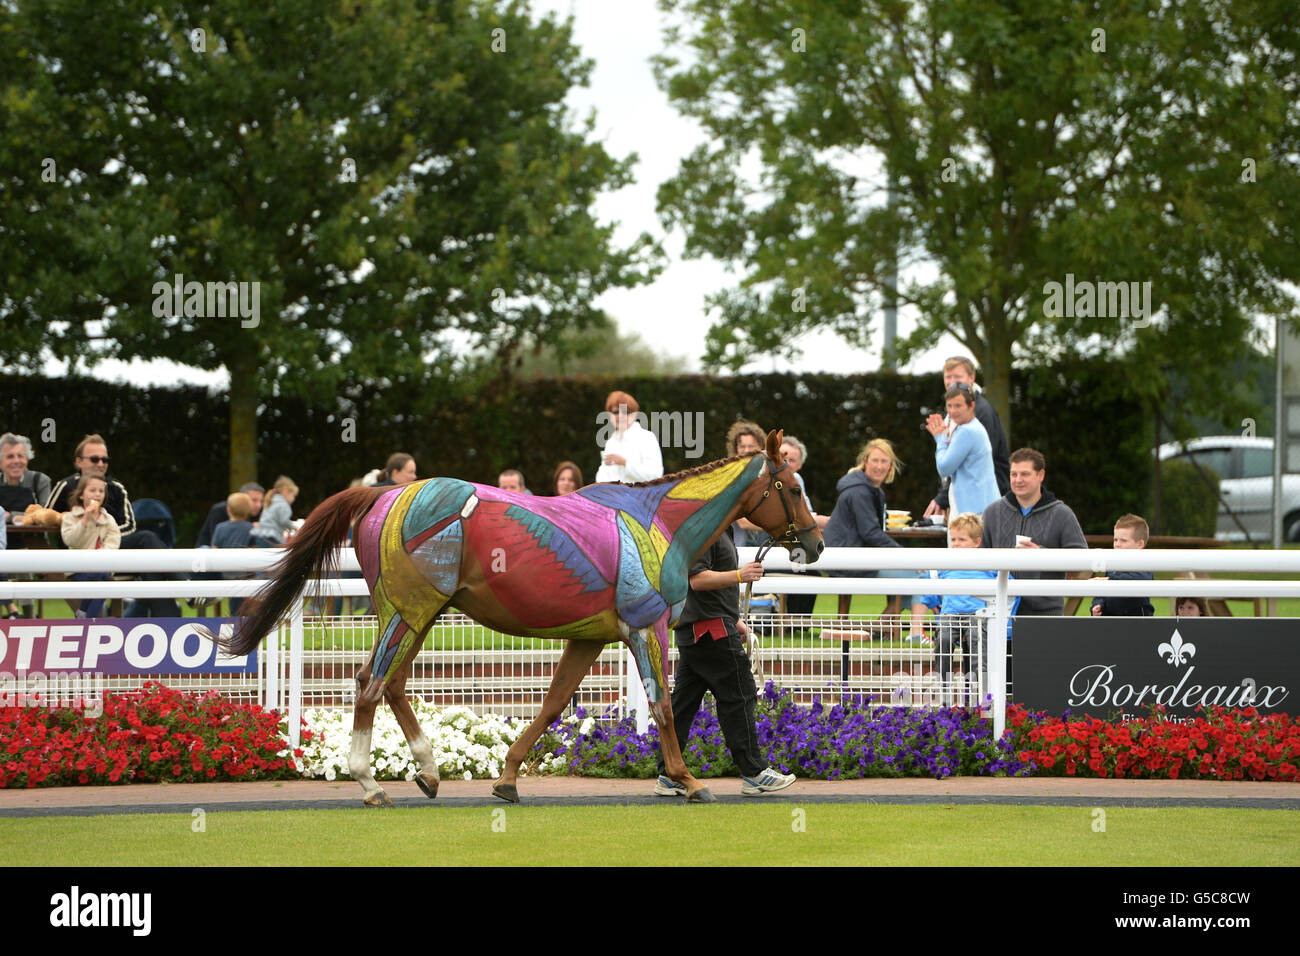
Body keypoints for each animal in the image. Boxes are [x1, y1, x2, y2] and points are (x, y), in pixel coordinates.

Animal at [215, 429, 822, 805]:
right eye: (793, 486)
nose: (815, 544)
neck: (659, 523)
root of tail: (383, 495)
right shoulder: (644, 626)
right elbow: (664, 707)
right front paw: (689, 780)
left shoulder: (589, 637)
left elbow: (553, 704)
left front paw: (506, 778)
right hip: (408, 610)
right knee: (369, 684)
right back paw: (369, 784)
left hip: (421, 613)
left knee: (392, 683)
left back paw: (428, 771)